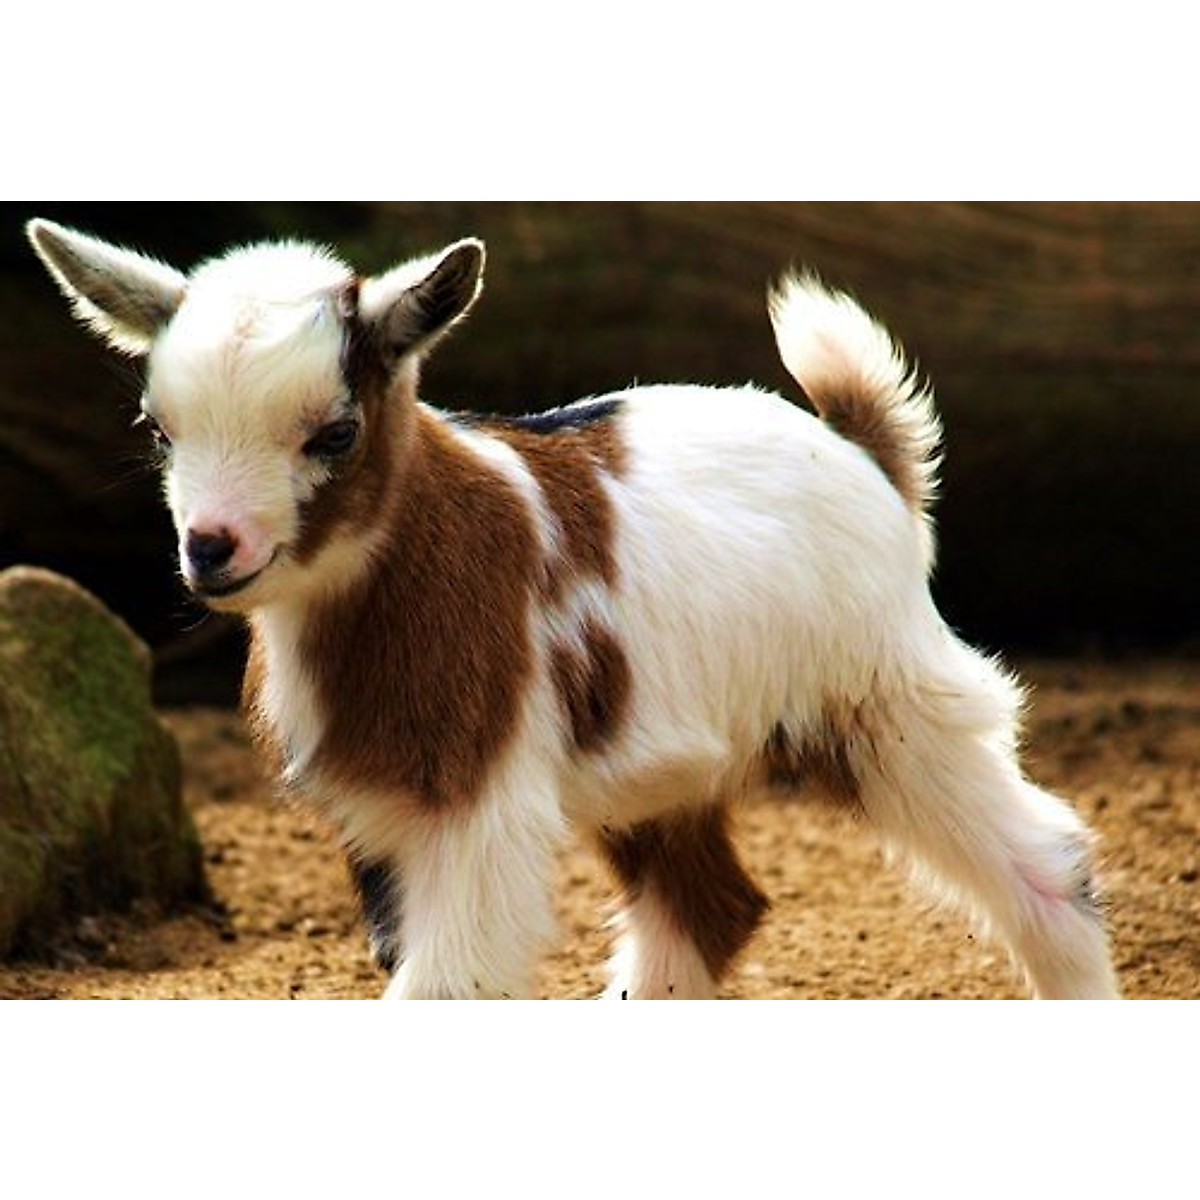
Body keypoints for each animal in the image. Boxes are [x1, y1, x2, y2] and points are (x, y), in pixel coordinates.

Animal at [27, 217, 1120, 999]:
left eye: (334, 434)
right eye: (158, 431)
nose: (212, 549)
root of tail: (866, 455)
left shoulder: (480, 801)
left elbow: (451, 984)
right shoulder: (381, 812)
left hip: (889, 701)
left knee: (1049, 868)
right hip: (664, 765)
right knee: (710, 910)